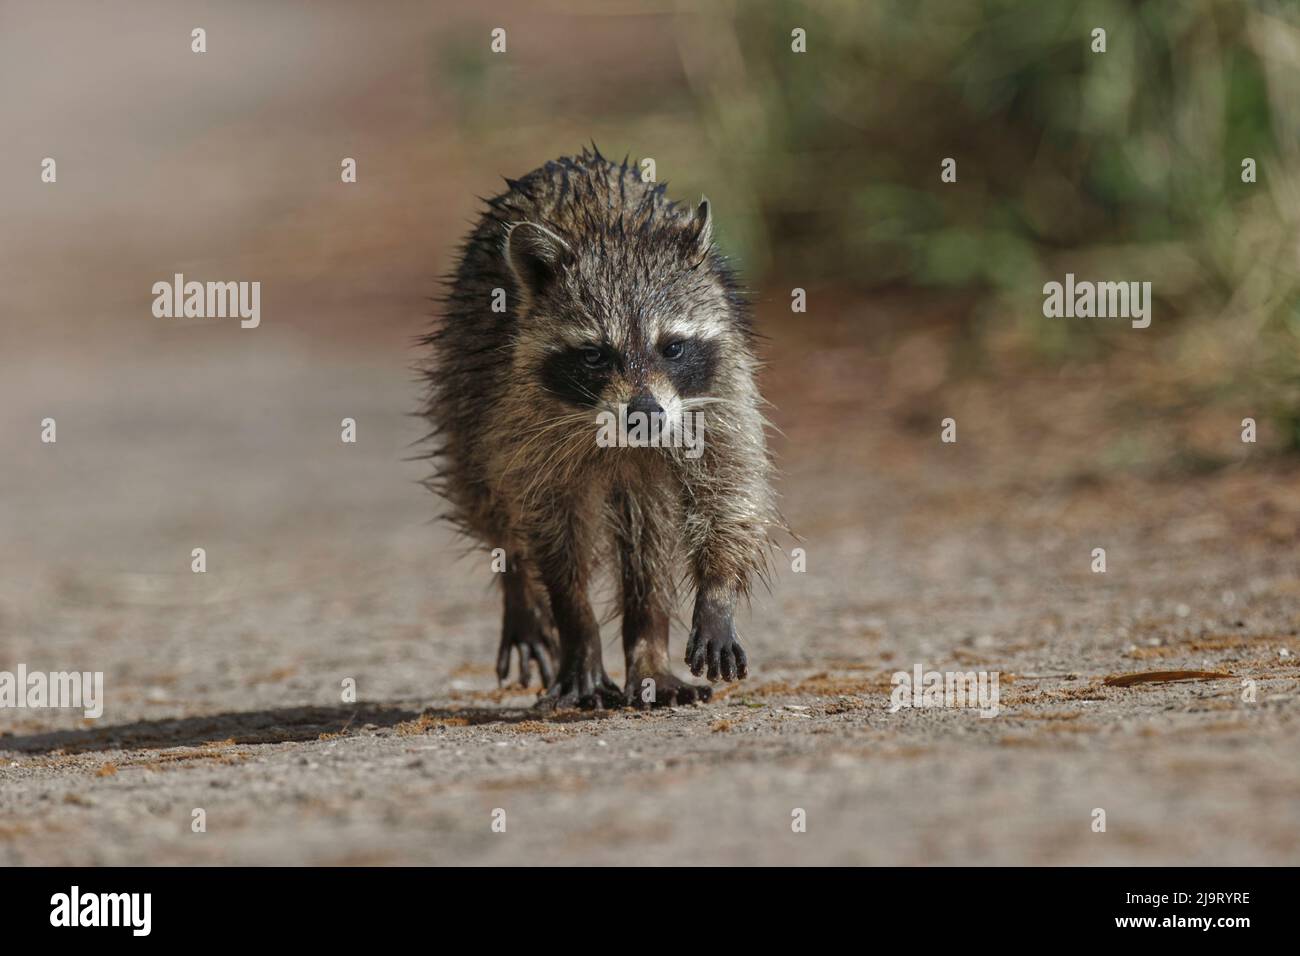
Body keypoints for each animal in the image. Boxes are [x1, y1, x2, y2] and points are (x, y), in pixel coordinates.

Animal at [421, 147, 781, 710]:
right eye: (594, 355)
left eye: (672, 347)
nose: (645, 414)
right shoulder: (520, 411)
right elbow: (545, 518)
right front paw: (574, 621)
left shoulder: (721, 390)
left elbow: (731, 485)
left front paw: (717, 590)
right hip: (465, 379)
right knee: (482, 490)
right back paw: (520, 582)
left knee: (649, 533)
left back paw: (648, 645)